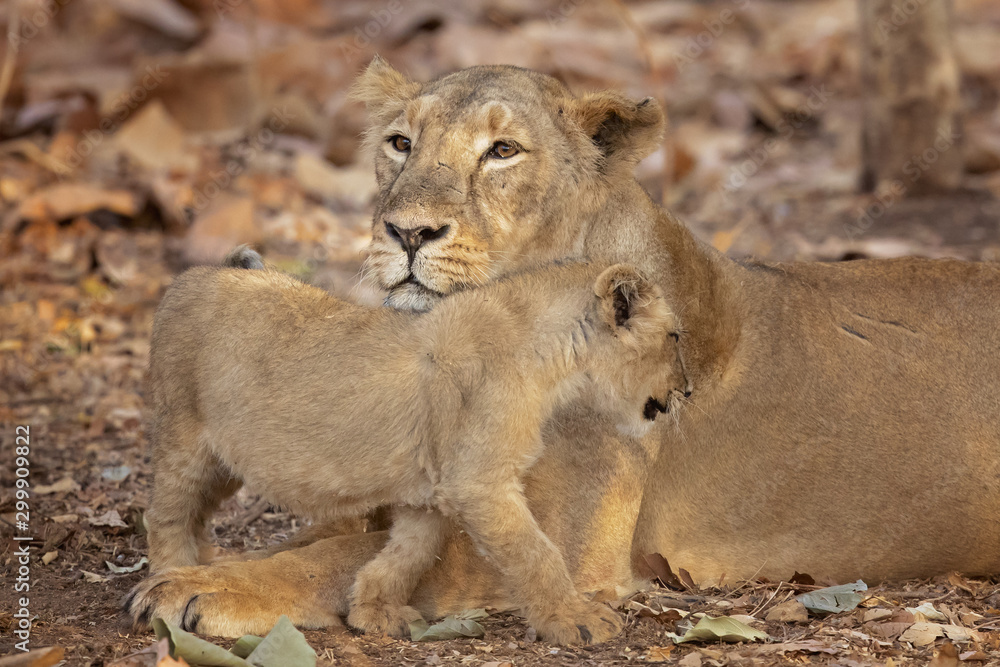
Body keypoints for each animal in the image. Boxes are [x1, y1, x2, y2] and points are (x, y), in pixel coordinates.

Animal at [142, 246, 687, 644]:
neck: (552, 357)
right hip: (184, 436)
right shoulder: (480, 484)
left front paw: (376, 614)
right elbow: (536, 555)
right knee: (166, 514)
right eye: (676, 337)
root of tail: (211, 271)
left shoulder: (430, 493)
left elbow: (406, 557)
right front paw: (577, 619)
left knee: (198, 513)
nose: (687, 388)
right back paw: (169, 577)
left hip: (223, 464)